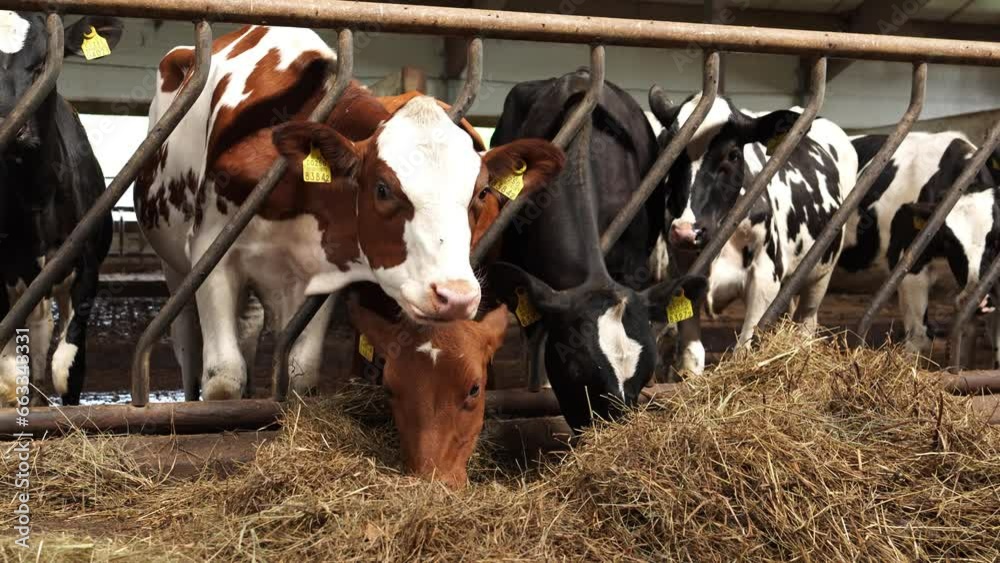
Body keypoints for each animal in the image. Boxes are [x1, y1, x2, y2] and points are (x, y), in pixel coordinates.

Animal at [0, 12, 121, 407]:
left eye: (42, 64)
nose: (9, 125)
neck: (35, 194)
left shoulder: (86, 266)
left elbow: (67, 368)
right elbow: (10, 374)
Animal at [134, 25, 564, 404]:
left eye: (480, 192)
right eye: (383, 189)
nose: (456, 296)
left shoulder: (320, 270)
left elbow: (300, 372)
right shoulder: (212, 253)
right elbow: (223, 378)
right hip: (175, 265)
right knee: (186, 339)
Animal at [649, 88, 858, 376]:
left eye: (733, 155)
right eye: (669, 149)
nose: (686, 231)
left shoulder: (766, 274)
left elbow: (744, 349)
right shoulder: (681, 269)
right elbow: (692, 355)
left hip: (821, 269)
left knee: (806, 320)